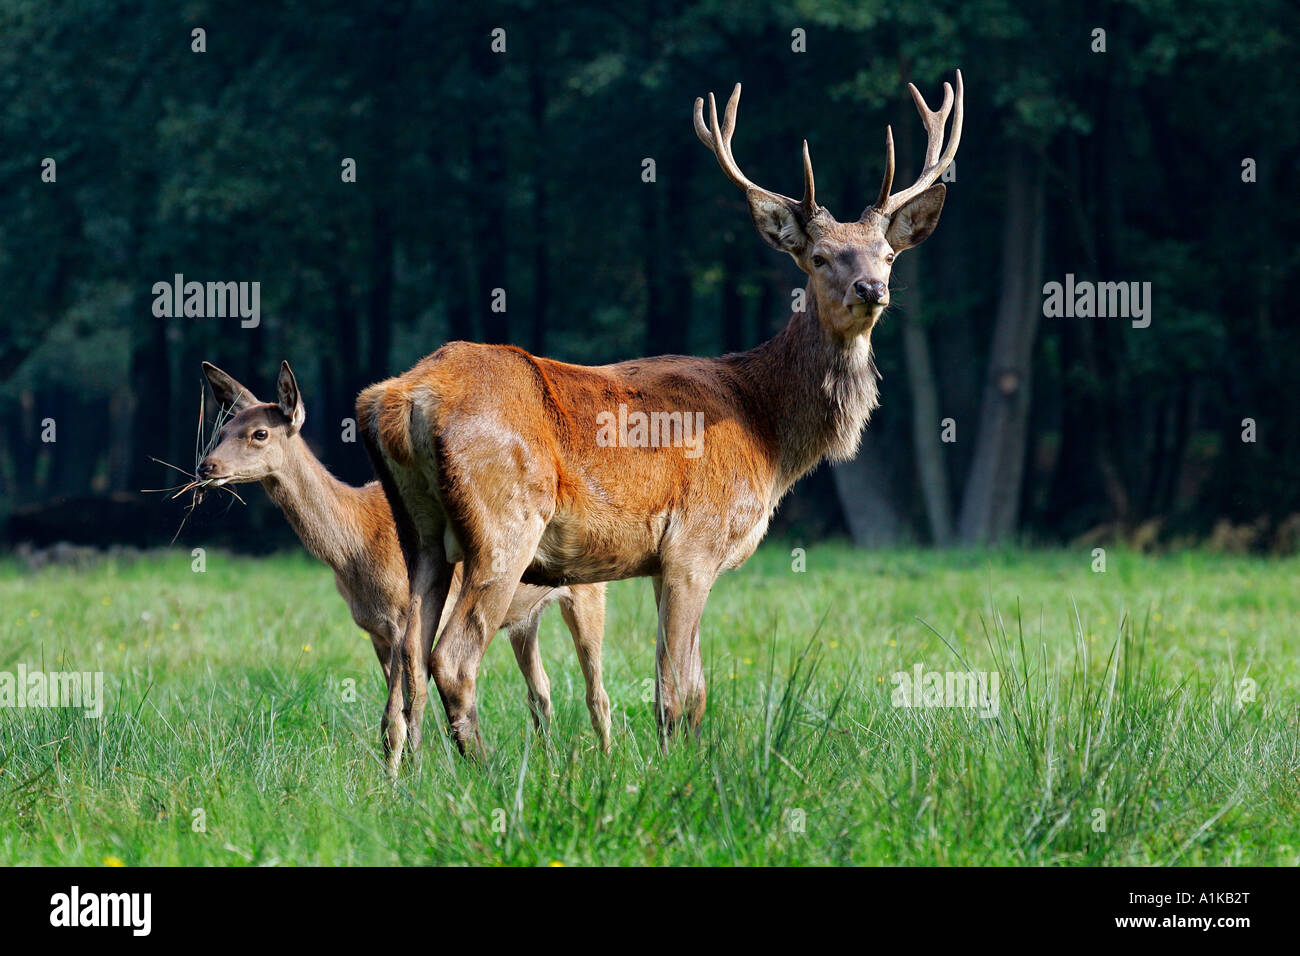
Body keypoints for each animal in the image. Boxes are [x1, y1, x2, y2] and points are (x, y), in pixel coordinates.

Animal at [196, 361, 612, 752]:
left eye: (259, 433)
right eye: (223, 430)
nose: (206, 466)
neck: (355, 548)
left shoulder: (398, 618)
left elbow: (395, 716)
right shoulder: (375, 630)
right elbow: (405, 710)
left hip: (589, 592)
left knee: (598, 694)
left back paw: (605, 757)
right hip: (524, 617)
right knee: (541, 692)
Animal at [358, 72, 963, 767]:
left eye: (887, 254)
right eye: (818, 257)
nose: (871, 289)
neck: (768, 434)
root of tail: (397, 397)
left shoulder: (661, 562)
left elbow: (685, 685)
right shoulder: (693, 544)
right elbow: (679, 691)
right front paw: (679, 772)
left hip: (422, 533)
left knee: (404, 658)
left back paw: (404, 777)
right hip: (505, 520)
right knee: (452, 657)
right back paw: (487, 773)